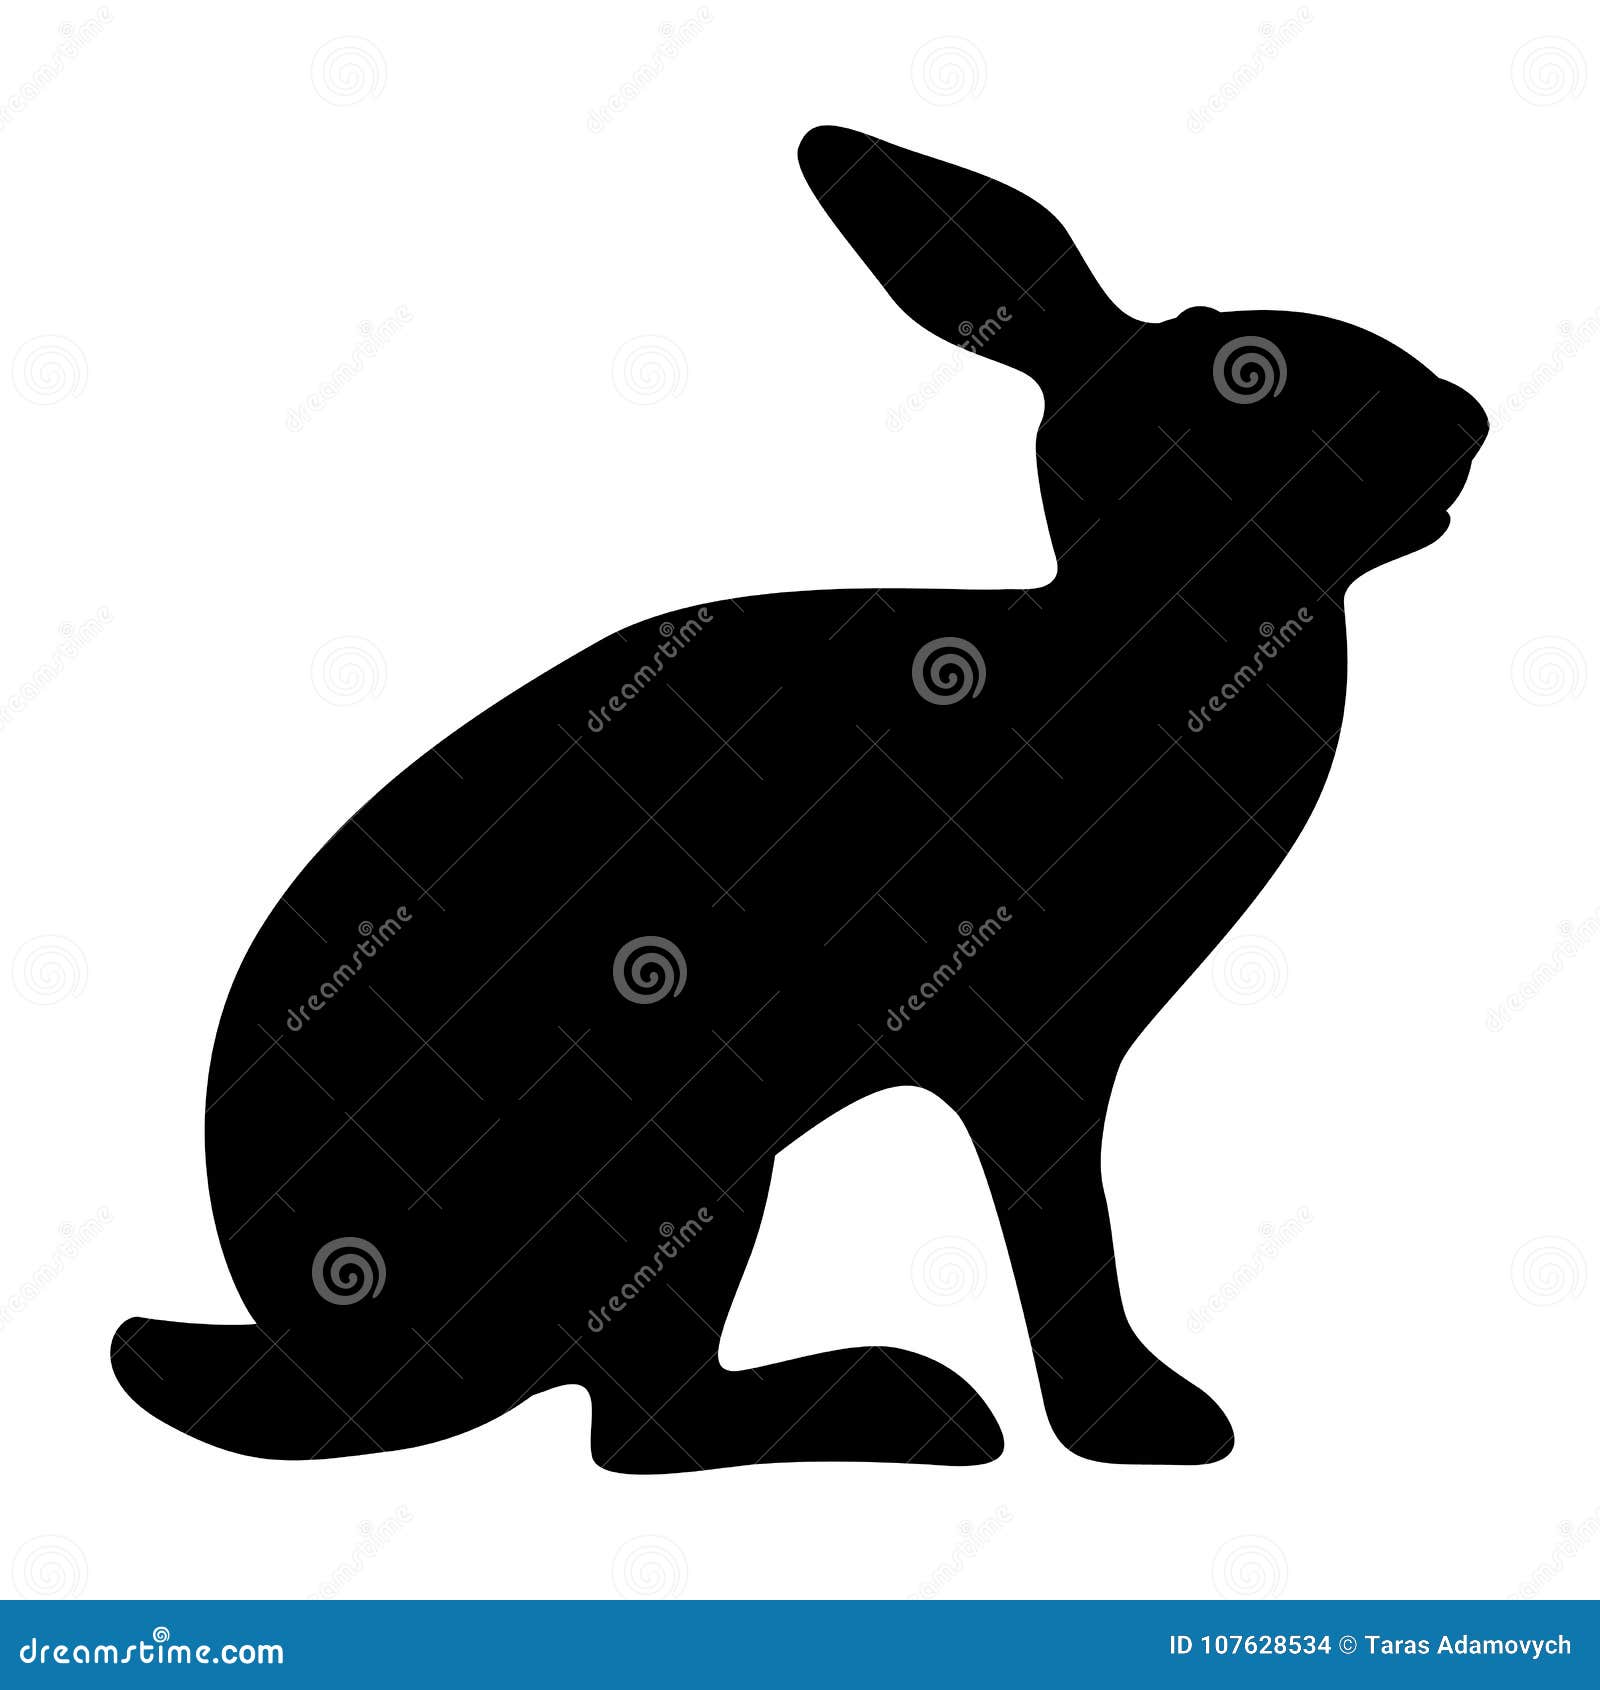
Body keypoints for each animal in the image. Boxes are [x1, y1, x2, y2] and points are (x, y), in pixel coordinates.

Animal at [110, 125, 1486, 1471]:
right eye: (1248, 378)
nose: (1463, 420)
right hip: (671, 1150)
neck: (1134, 631)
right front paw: (1145, 1424)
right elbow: (1063, 1234)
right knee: (642, 1427)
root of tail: (334, 1362)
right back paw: (912, 1409)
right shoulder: (1031, 1057)